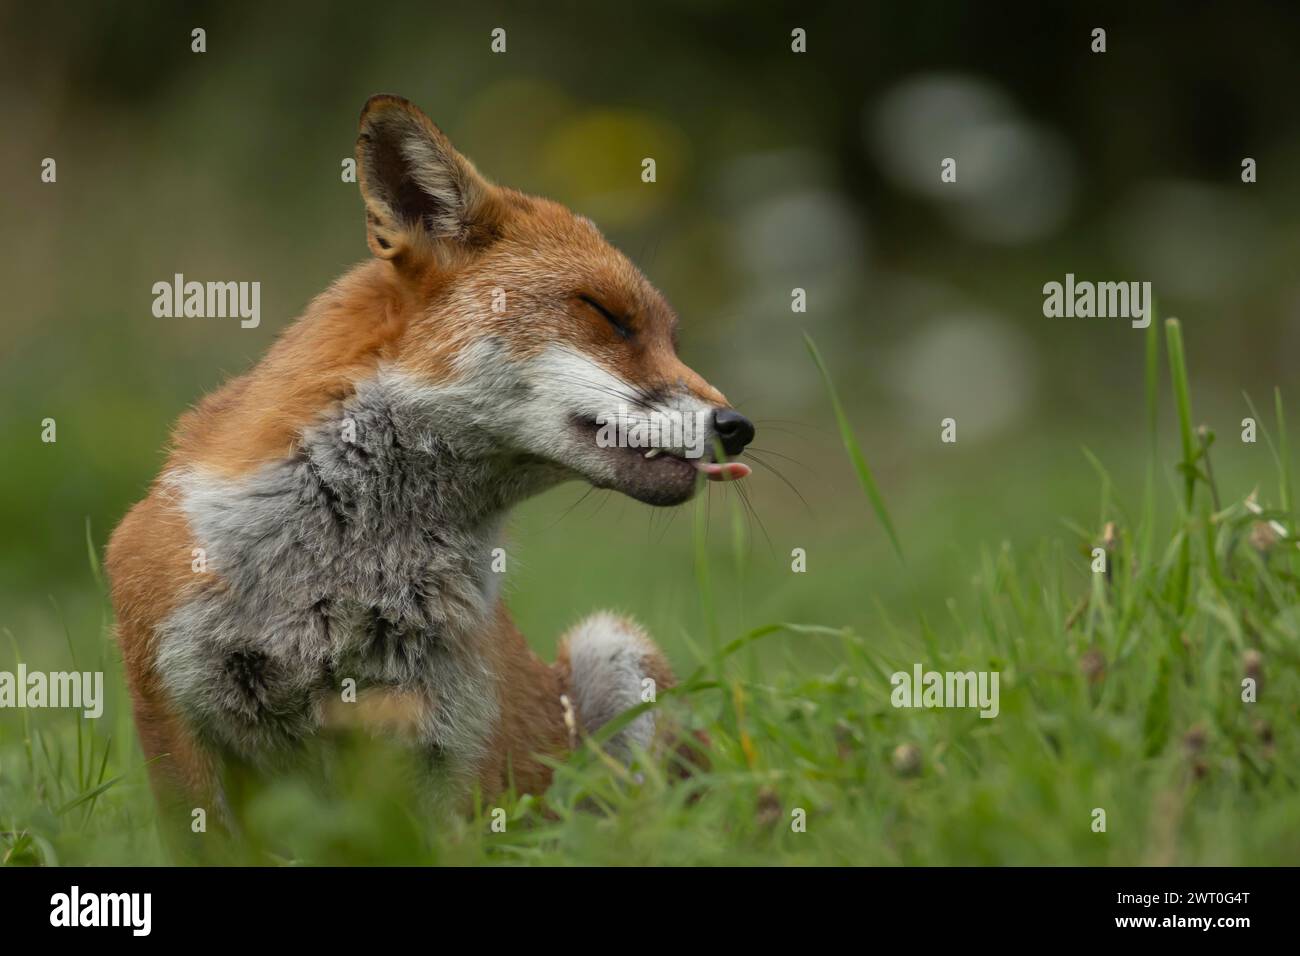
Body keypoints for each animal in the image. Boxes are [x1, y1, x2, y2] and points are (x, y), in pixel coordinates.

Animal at [106, 94, 755, 825]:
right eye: (607, 315)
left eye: (671, 338)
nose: (738, 428)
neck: (343, 569)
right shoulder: (172, 710)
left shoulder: (443, 739)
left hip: (613, 649)